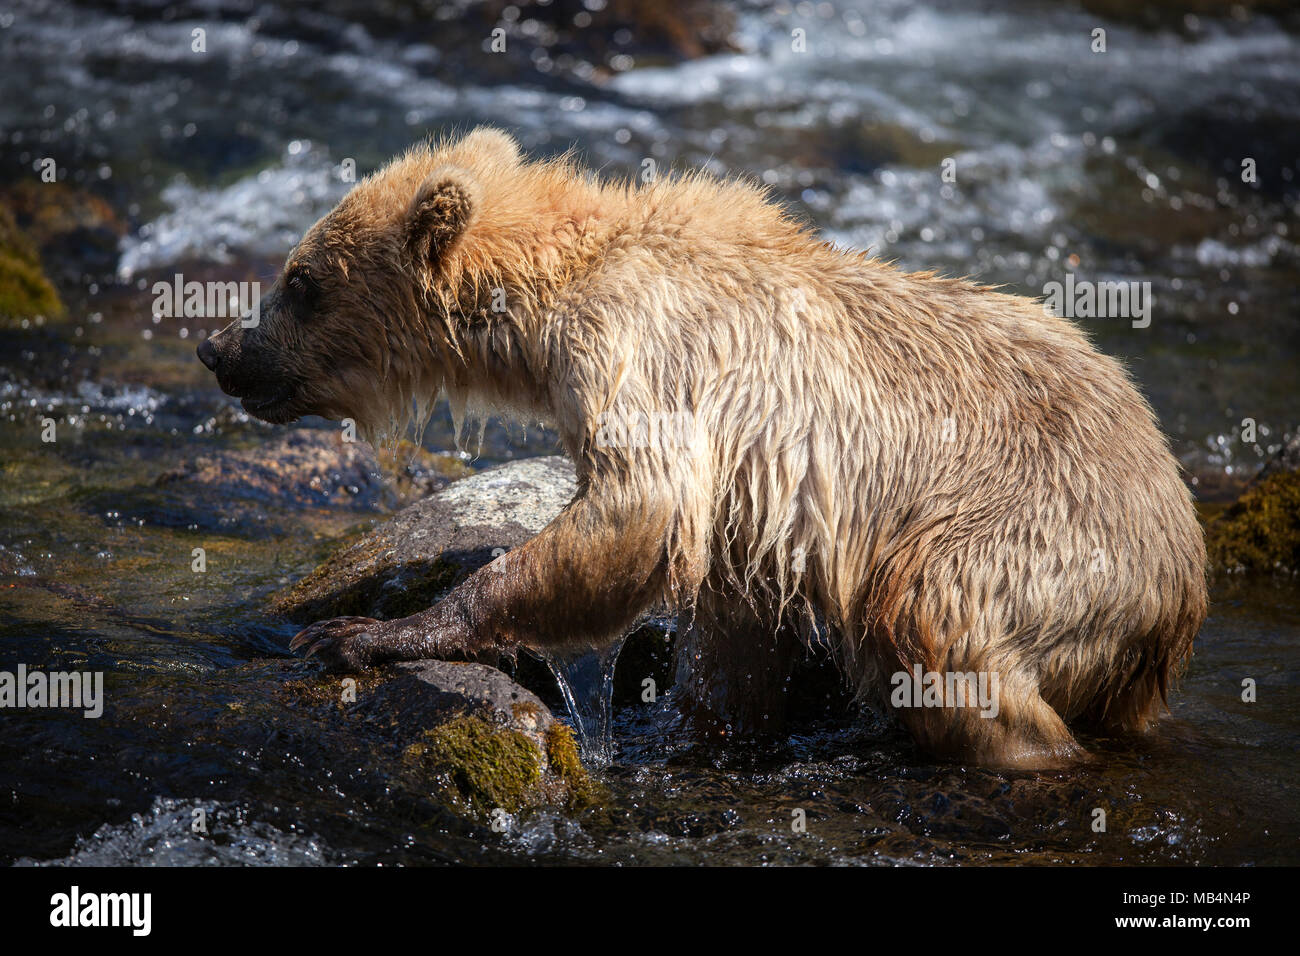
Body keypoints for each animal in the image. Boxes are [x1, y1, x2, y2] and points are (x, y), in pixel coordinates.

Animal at [198, 127, 1208, 769]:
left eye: (300, 280)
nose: (220, 349)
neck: (541, 302)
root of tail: (1183, 572)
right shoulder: (754, 501)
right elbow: (731, 637)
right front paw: (704, 730)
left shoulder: (641, 349)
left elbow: (633, 507)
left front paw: (364, 632)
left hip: (1036, 531)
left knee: (939, 625)